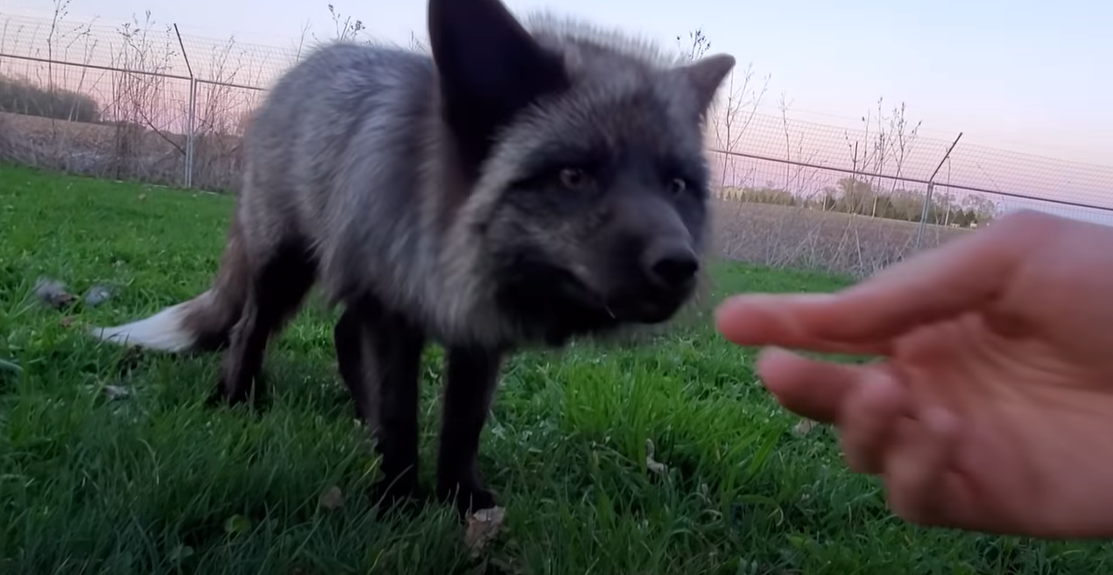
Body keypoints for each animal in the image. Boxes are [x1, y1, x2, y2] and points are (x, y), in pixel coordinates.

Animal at [89, 0, 735, 516]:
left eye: (677, 186)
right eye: (574, 175)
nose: (679, 267)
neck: (448, 261)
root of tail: (303, 71)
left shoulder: (476, 331)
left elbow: (462, 424)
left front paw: (460, 499)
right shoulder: (392, 307)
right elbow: (402, 413)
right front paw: (397, 498)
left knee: (343, 337)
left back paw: (357, 415)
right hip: (286, 267)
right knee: (251, 327)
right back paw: (237, 401)